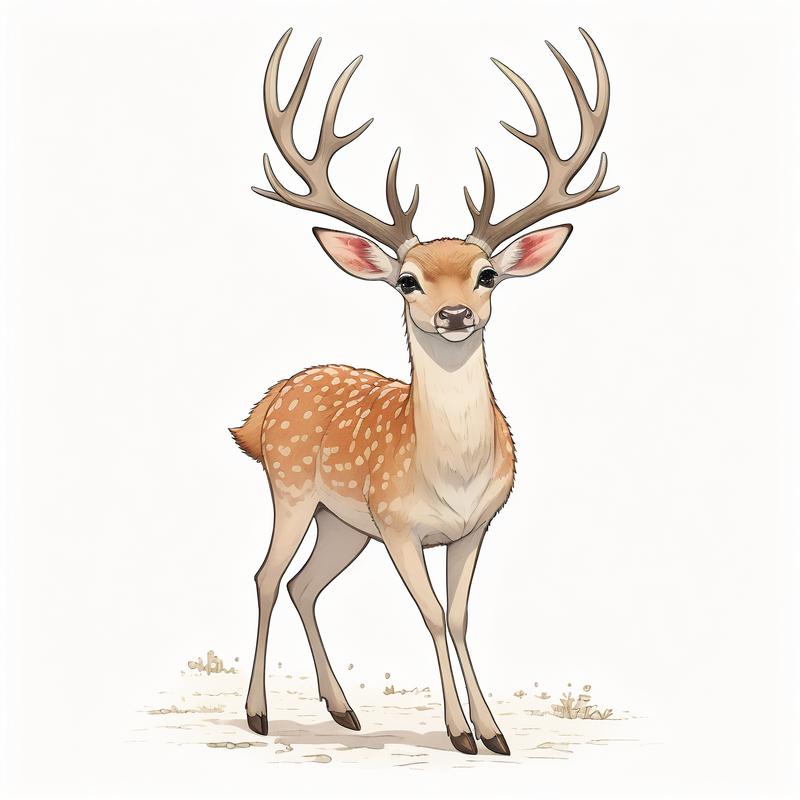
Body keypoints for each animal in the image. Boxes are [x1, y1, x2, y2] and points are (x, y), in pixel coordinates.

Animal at [230, 27, 618, 756]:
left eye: (487, 273)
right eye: (407, 280)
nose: (455, 313)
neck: (452, 477)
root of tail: (265, 408)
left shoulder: (476, 527)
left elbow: (461, 616)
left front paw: (494, 732)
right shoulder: (399, 525)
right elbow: (434, 614)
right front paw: (461, 732)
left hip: (341, 521)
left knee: (303, 584)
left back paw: (343, 709)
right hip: (293, 489)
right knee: (267, 576)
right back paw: (259, 713)